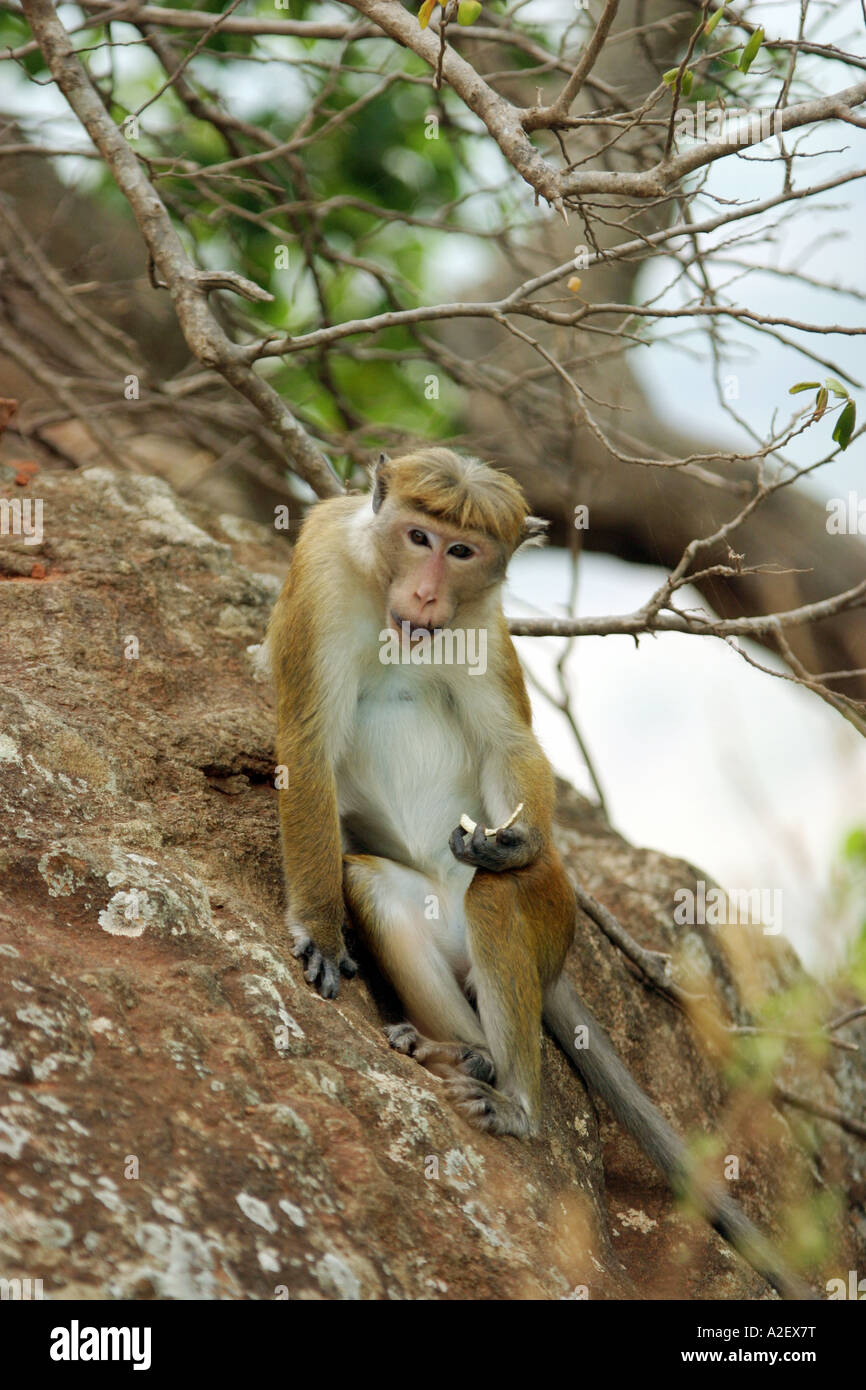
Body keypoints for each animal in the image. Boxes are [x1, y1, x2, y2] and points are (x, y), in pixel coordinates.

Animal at [266, 446, 813, 1300]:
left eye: (462, 552)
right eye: (418, 536)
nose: (427, 592)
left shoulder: (486, 619)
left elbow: (508, 742)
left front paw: (516, 841)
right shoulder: (319, 571)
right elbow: (307, 738)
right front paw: (320, 929)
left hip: (552, 917)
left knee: (496, 899)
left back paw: (513, 1093)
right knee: (377, 887)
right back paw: (461, 1052)